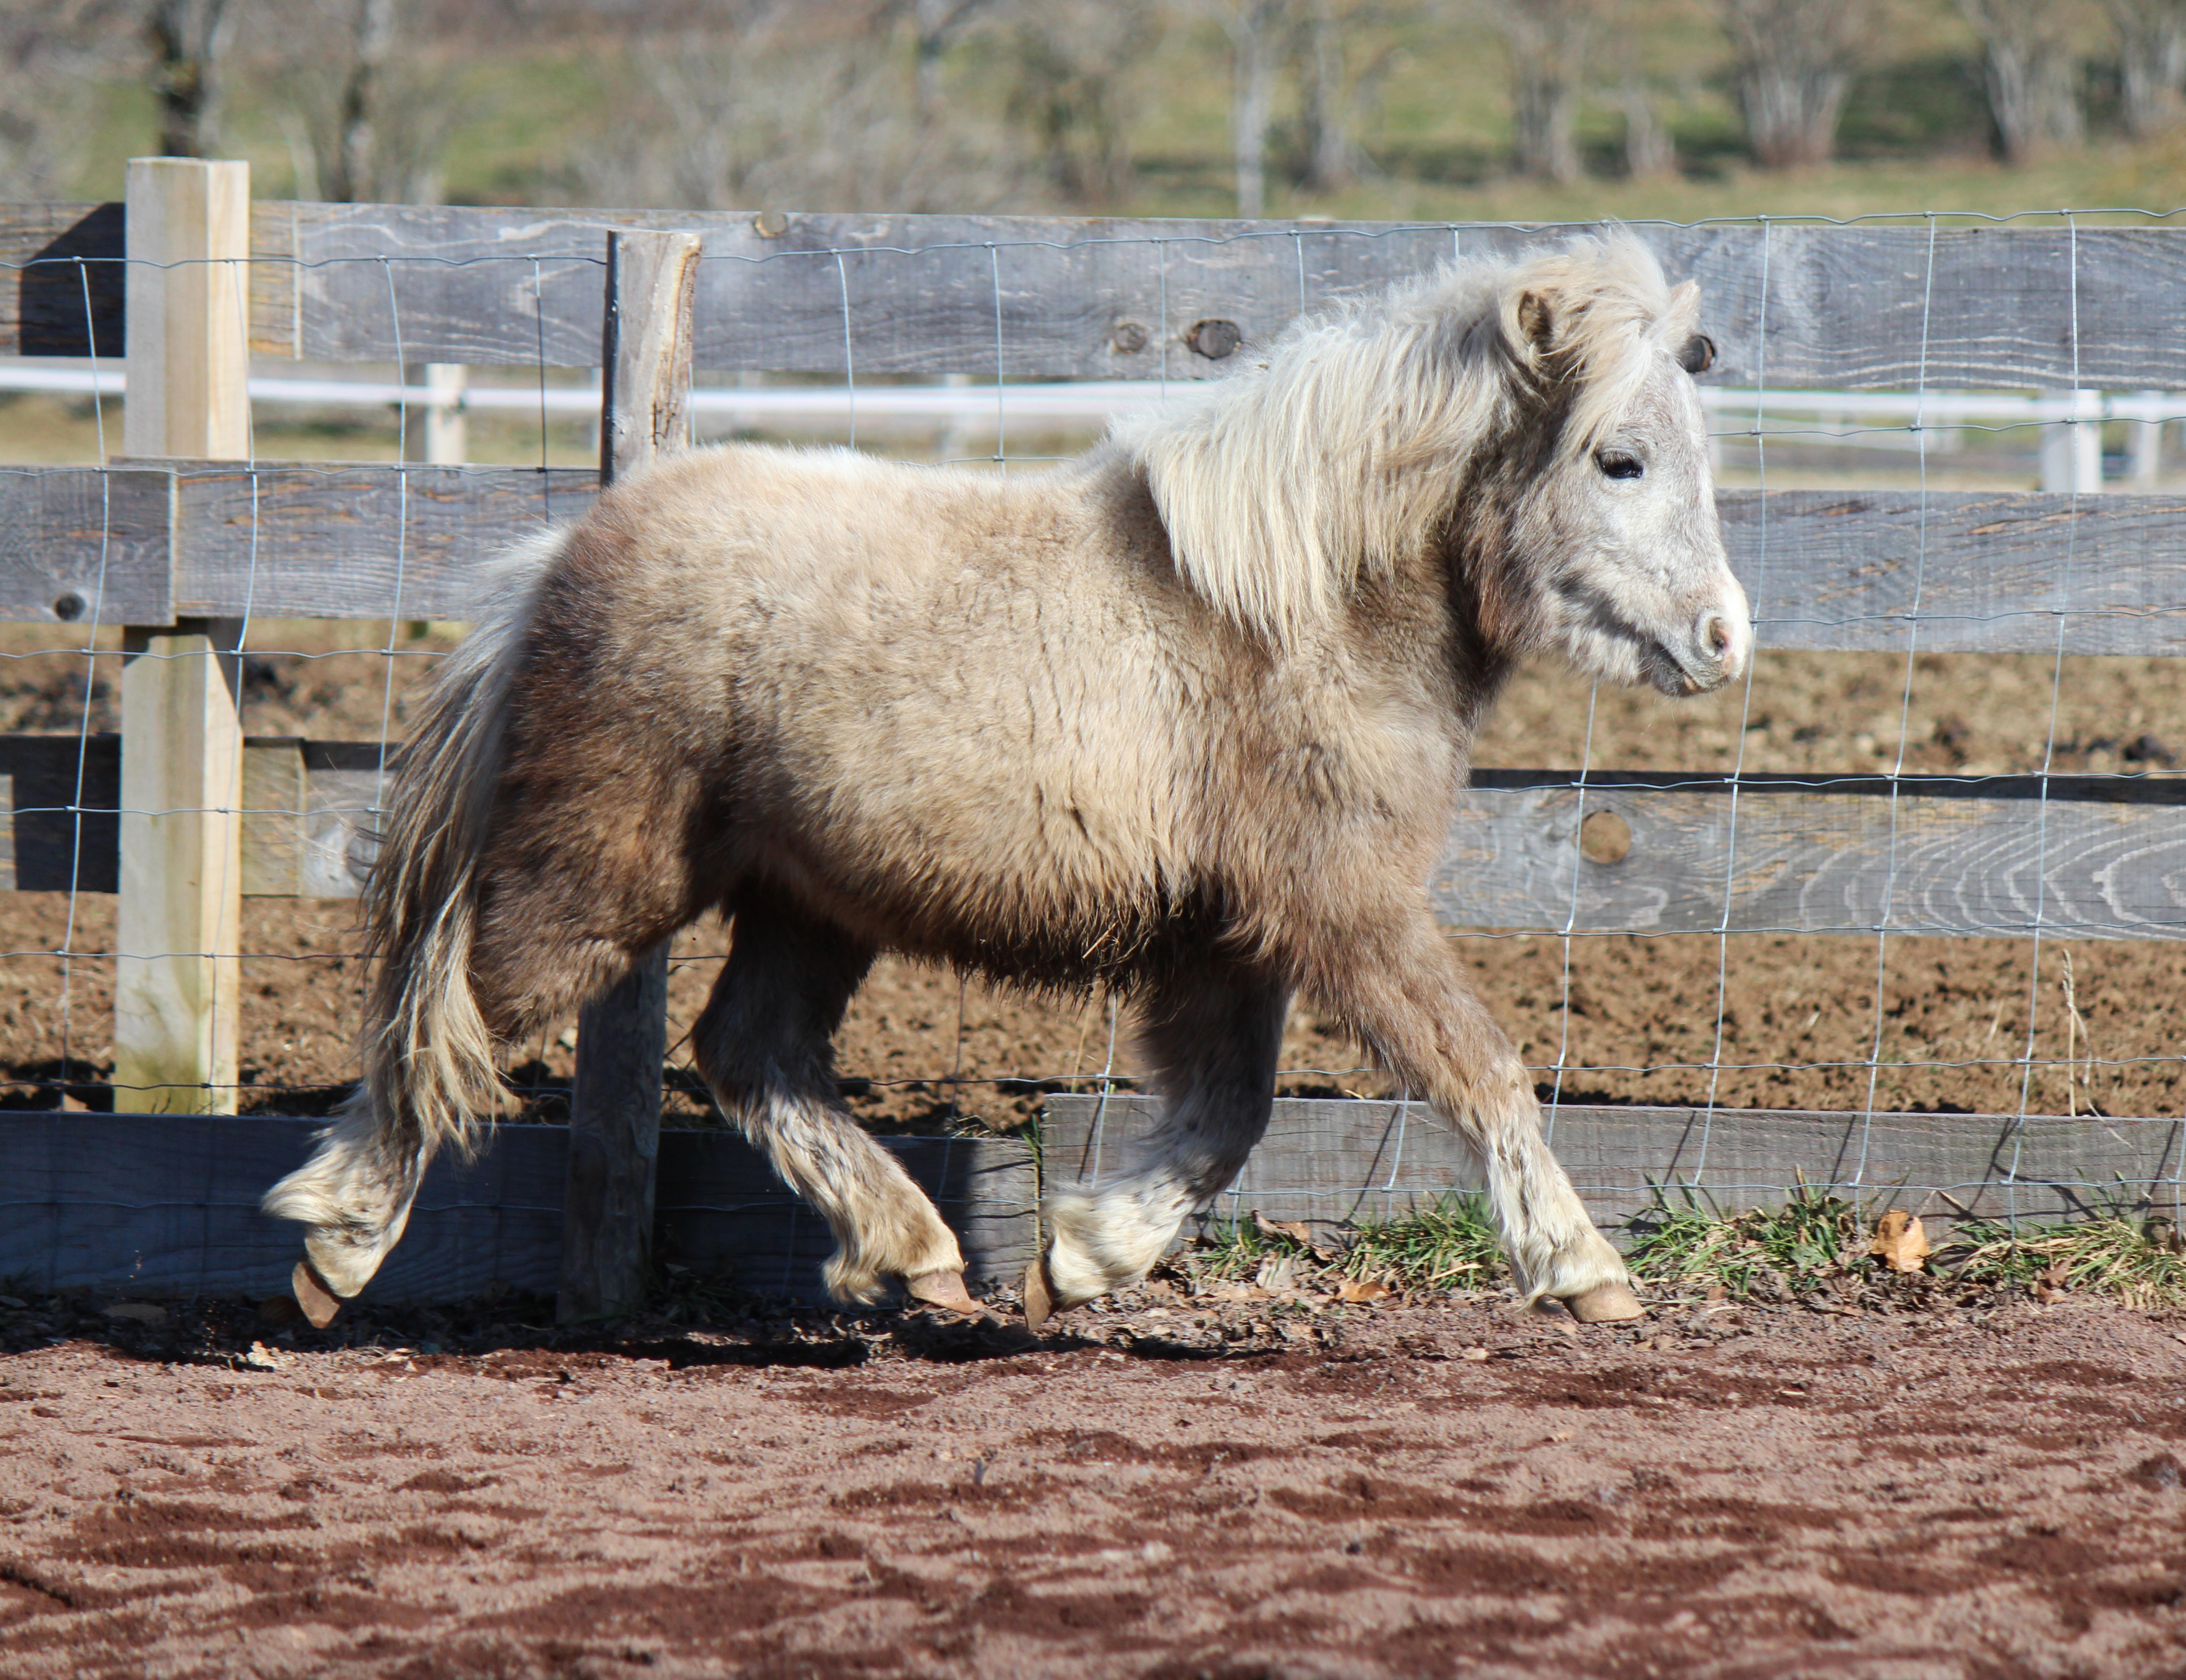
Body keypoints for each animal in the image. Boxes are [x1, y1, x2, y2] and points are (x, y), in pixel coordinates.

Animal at [263, 230, 1747, 1333]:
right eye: (1619, 458)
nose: (1727, 638)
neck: (1300, 606)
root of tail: (564, 557)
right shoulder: (1345, 909)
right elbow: (1474, 1067)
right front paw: (1584, 1269)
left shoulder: (1234, 937)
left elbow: (1227, 1118)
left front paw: (1081, 1256)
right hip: (602, 875)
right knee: (444, 1007)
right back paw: (339, 1245)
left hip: (807, 904)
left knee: (745, 1053)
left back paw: (918, 1254)